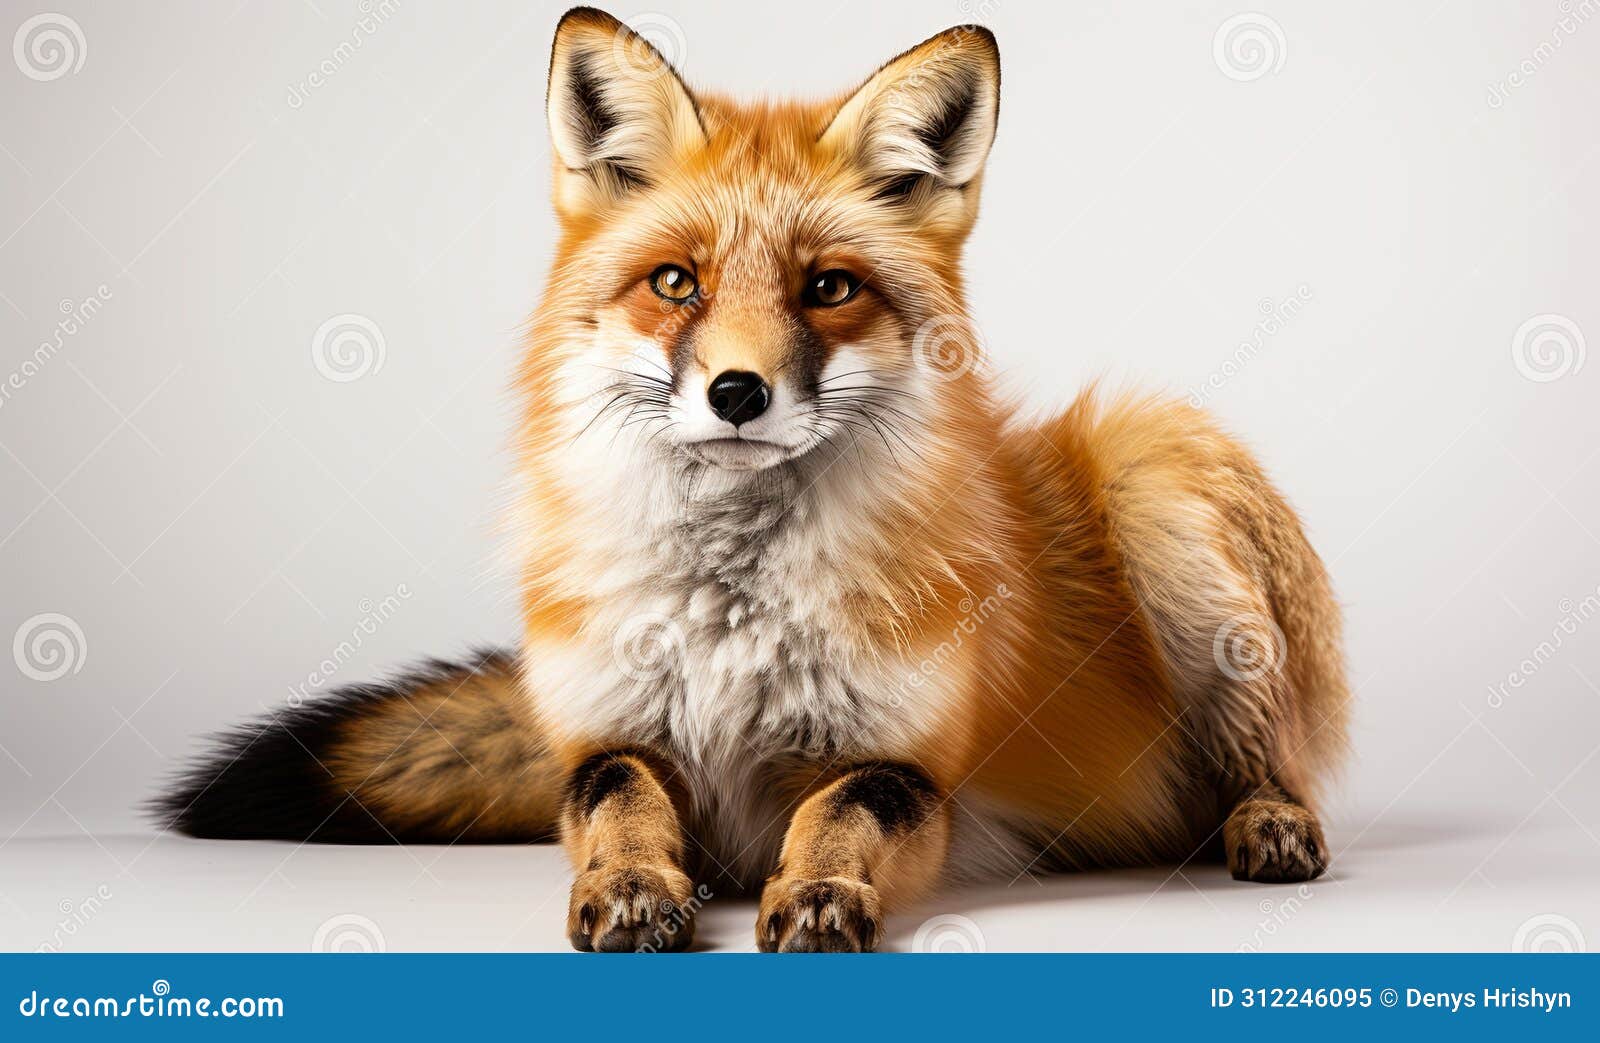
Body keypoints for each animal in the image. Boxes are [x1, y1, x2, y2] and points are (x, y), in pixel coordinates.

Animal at [157, 8, 1349, 953]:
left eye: (828, 288)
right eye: (675, 282)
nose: (738, 391)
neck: (729, 615)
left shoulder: (909, 766)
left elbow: (841, 815)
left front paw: (818, 891)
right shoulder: (606, 736)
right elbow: (619, 803)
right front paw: (633, 885)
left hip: (1156, 482)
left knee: (1271, 752)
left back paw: (1268, 820)